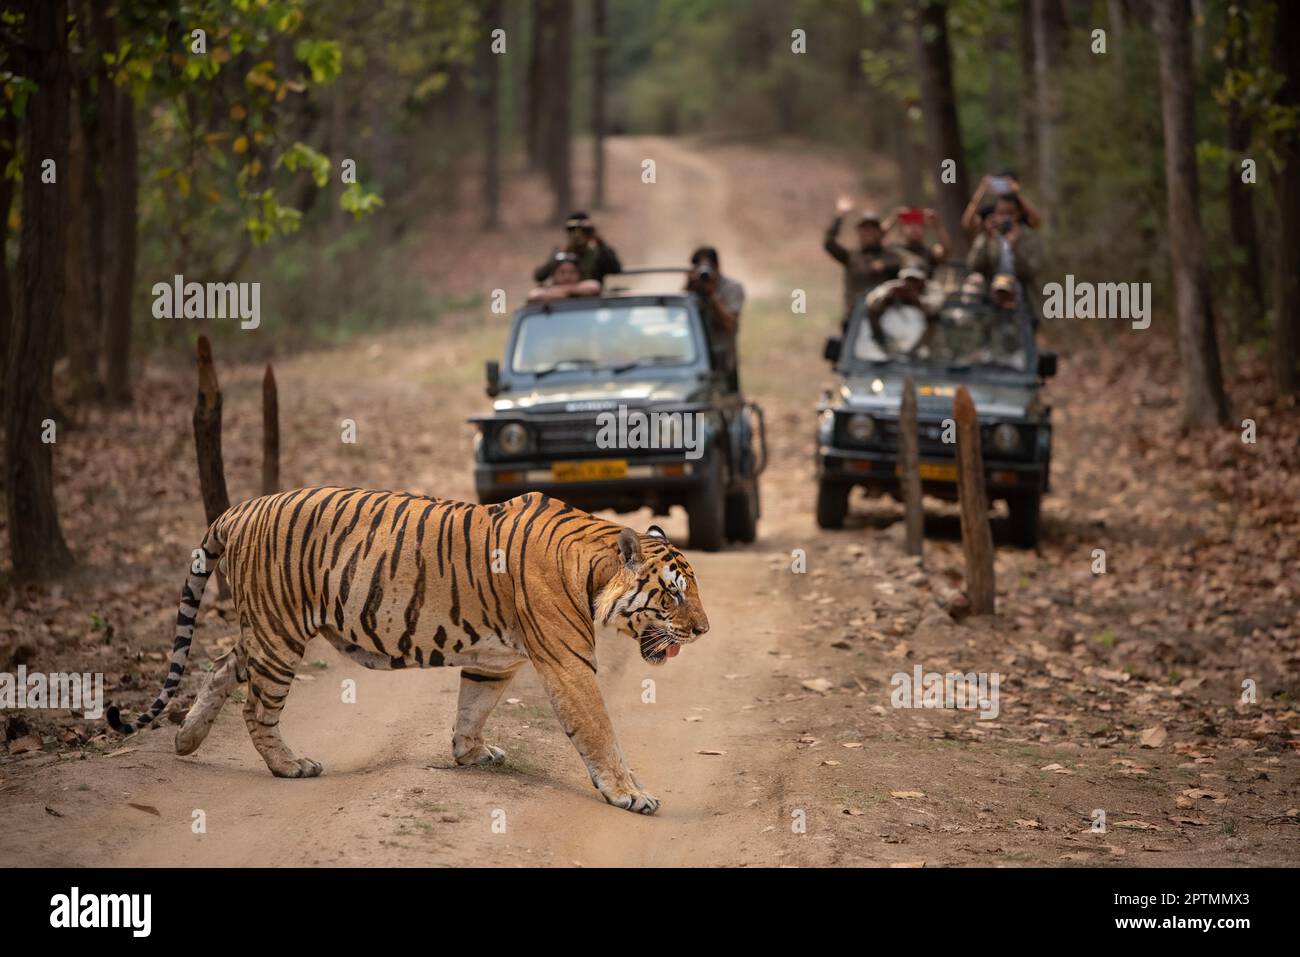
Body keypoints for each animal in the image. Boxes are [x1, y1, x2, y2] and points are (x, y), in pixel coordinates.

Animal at [107, 487, 709, 814]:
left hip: (263, 629)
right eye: (674, 594)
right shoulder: (568, 664)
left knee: (218, 669)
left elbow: (472, 707)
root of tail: (239, 510)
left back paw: (187, 739)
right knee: (258, 709)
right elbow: (601, 733)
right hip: (279, 633)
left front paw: (470, 754)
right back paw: (290, 765)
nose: (704, 630)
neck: (592, 566)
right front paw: (630, 794)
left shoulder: (496, 660)